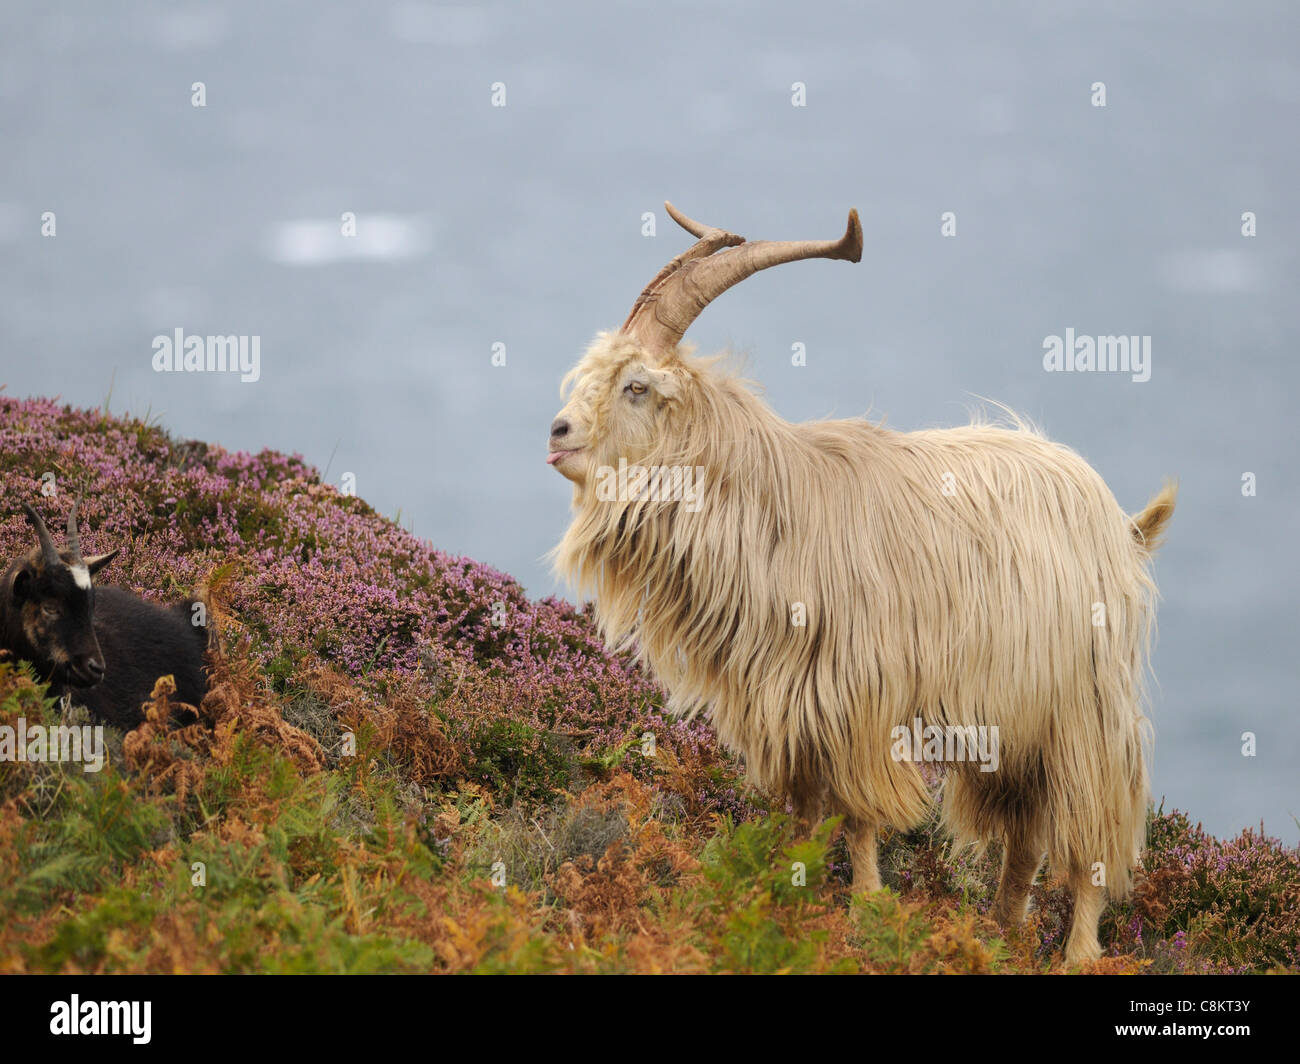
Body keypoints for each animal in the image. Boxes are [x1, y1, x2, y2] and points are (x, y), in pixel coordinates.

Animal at [548, 202, 1176, 966]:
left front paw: (867, 910)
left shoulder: (860, 698)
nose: (559, 433)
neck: (769, 501)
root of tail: (1122, 522)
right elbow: (803, 811)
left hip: (1084, 708)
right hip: (1017, 717)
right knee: (1026, 834)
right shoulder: (790, 708)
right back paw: (1000, 933)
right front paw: (789, 891)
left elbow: (858, 816)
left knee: (1092, 827)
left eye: (636, 386)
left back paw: (1078, 952)